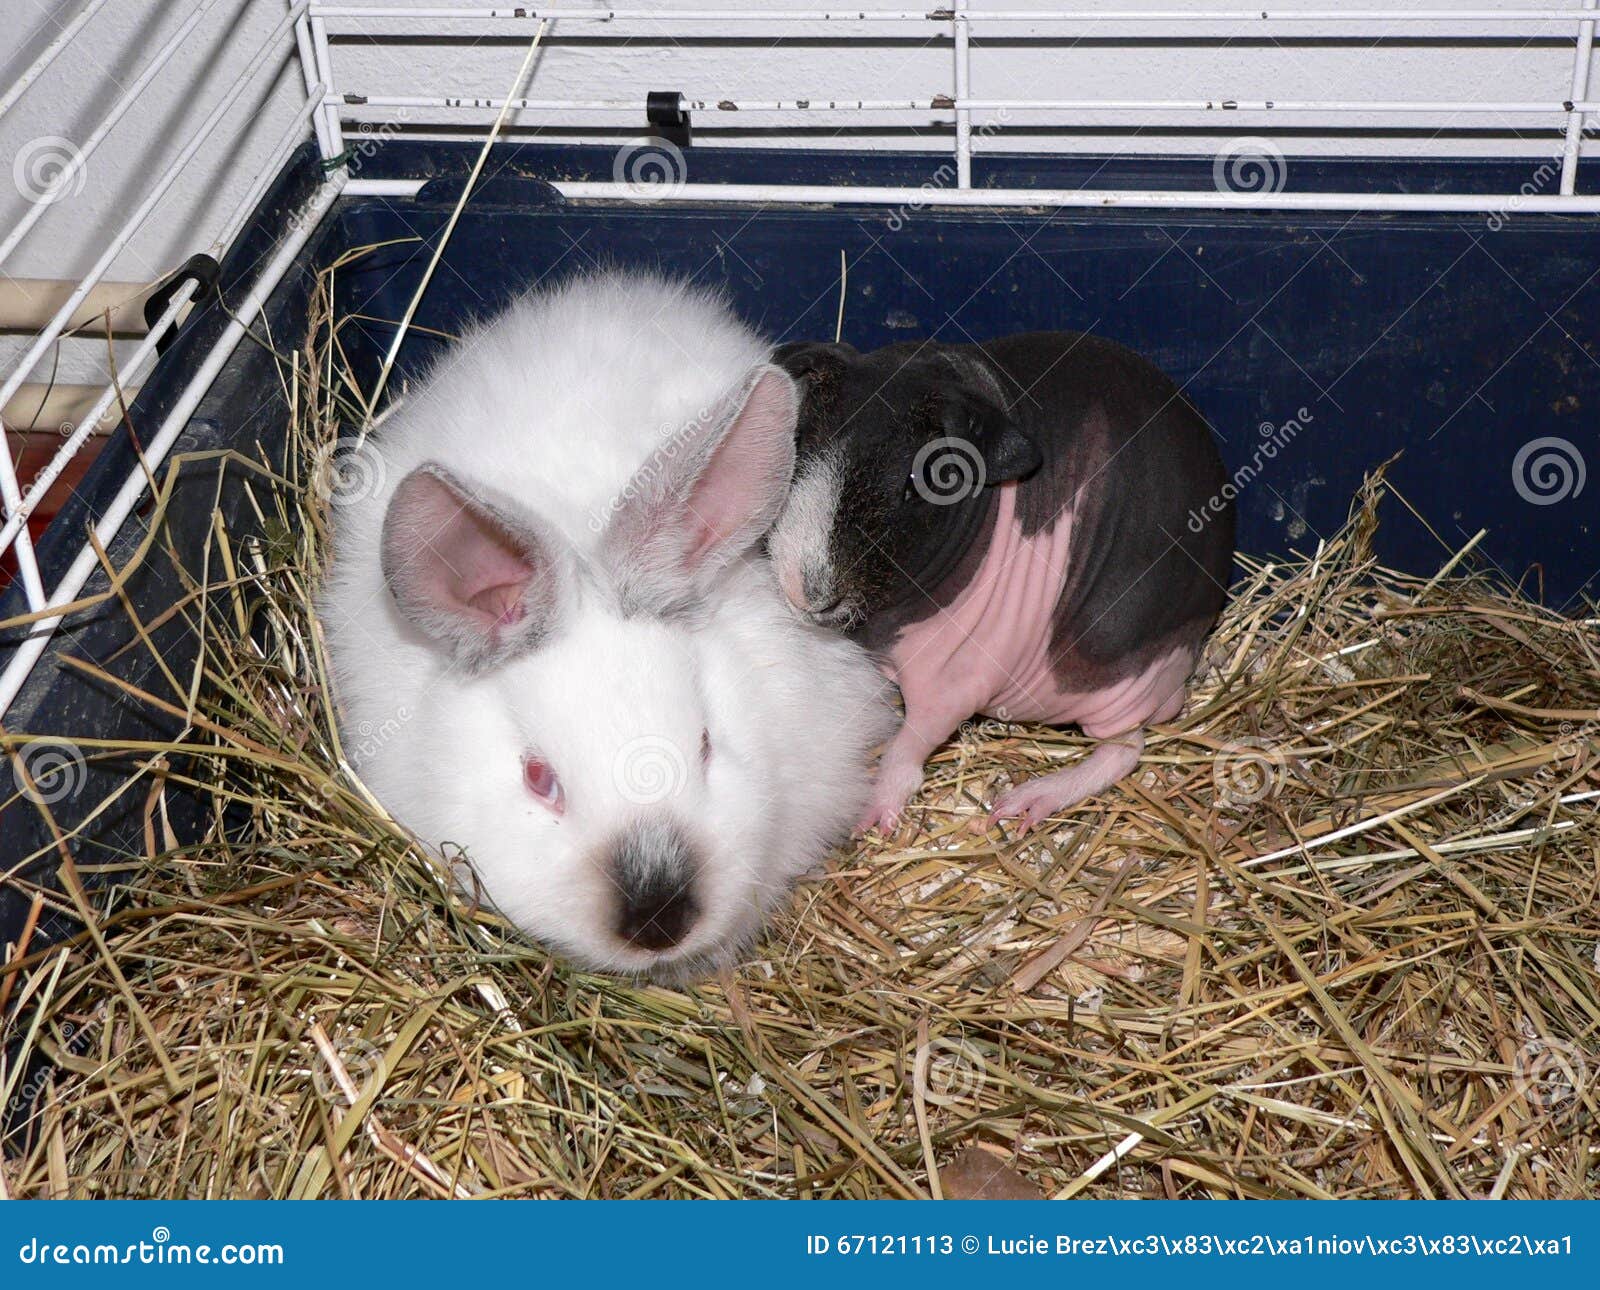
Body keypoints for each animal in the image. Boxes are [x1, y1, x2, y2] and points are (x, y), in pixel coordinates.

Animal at [767, 334, 1233, 836]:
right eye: (800, 443)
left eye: (914, 485)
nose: (803, 593)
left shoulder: (949, 683)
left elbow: (910, 746)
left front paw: (869, 821)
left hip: (1115, 678)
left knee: (1124, 750)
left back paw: (1023, 804)